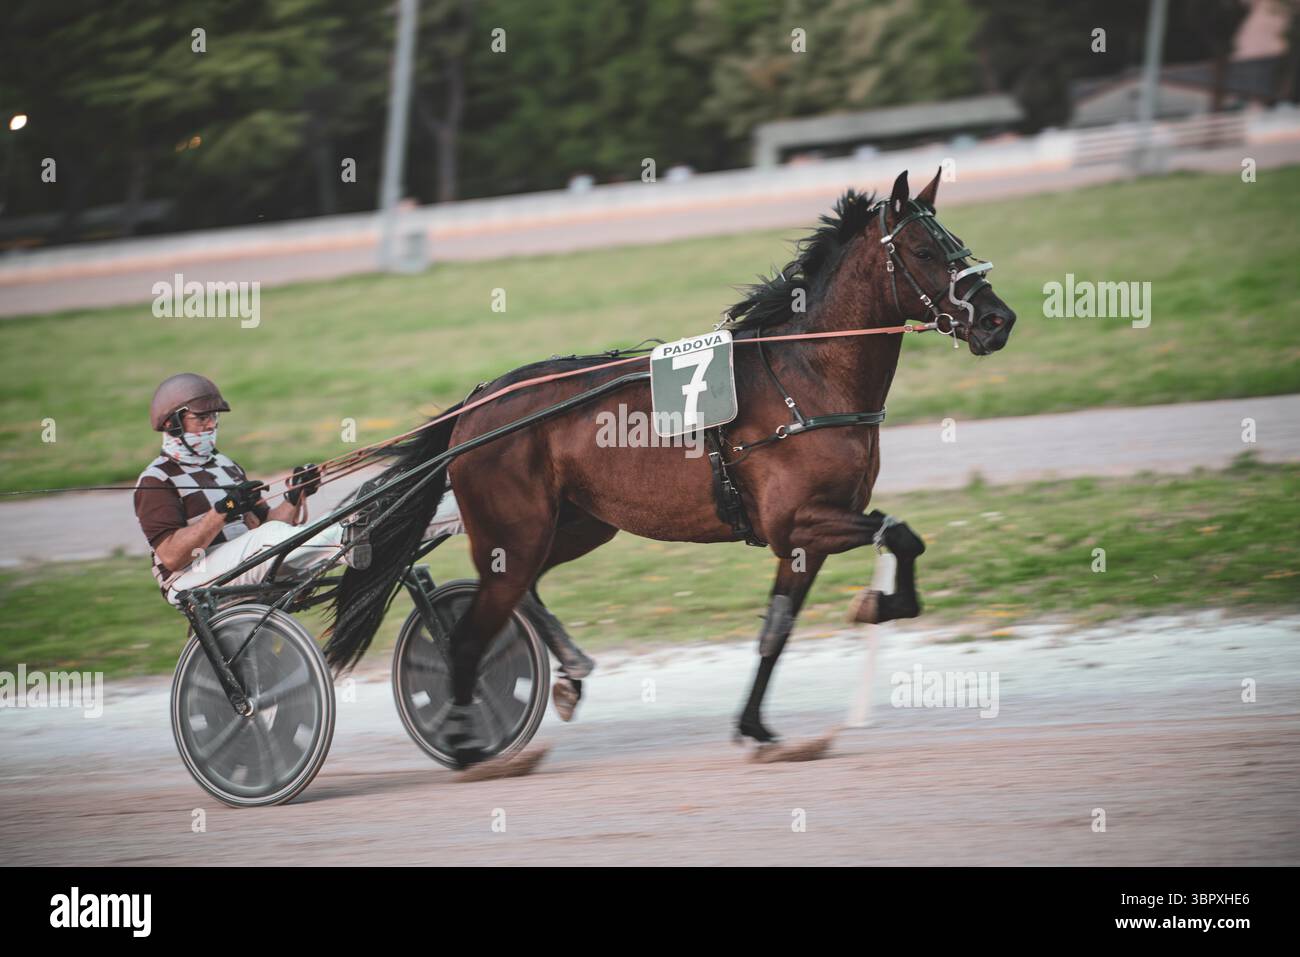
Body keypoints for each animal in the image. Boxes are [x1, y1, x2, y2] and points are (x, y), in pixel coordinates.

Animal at [322, 168, 1016, 763]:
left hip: (574, 525)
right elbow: (900, 533)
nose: (998, 318)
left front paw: (758, 727)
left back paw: (569, 674)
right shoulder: (797, 521)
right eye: (925, 251)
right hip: (514, 533)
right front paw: (879, 605)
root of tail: (475, 408)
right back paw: (471, 744)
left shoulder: (808, 536)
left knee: (524, 592)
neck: (806, 377)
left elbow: (778, 629)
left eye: (956, 242)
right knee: (470, 636)